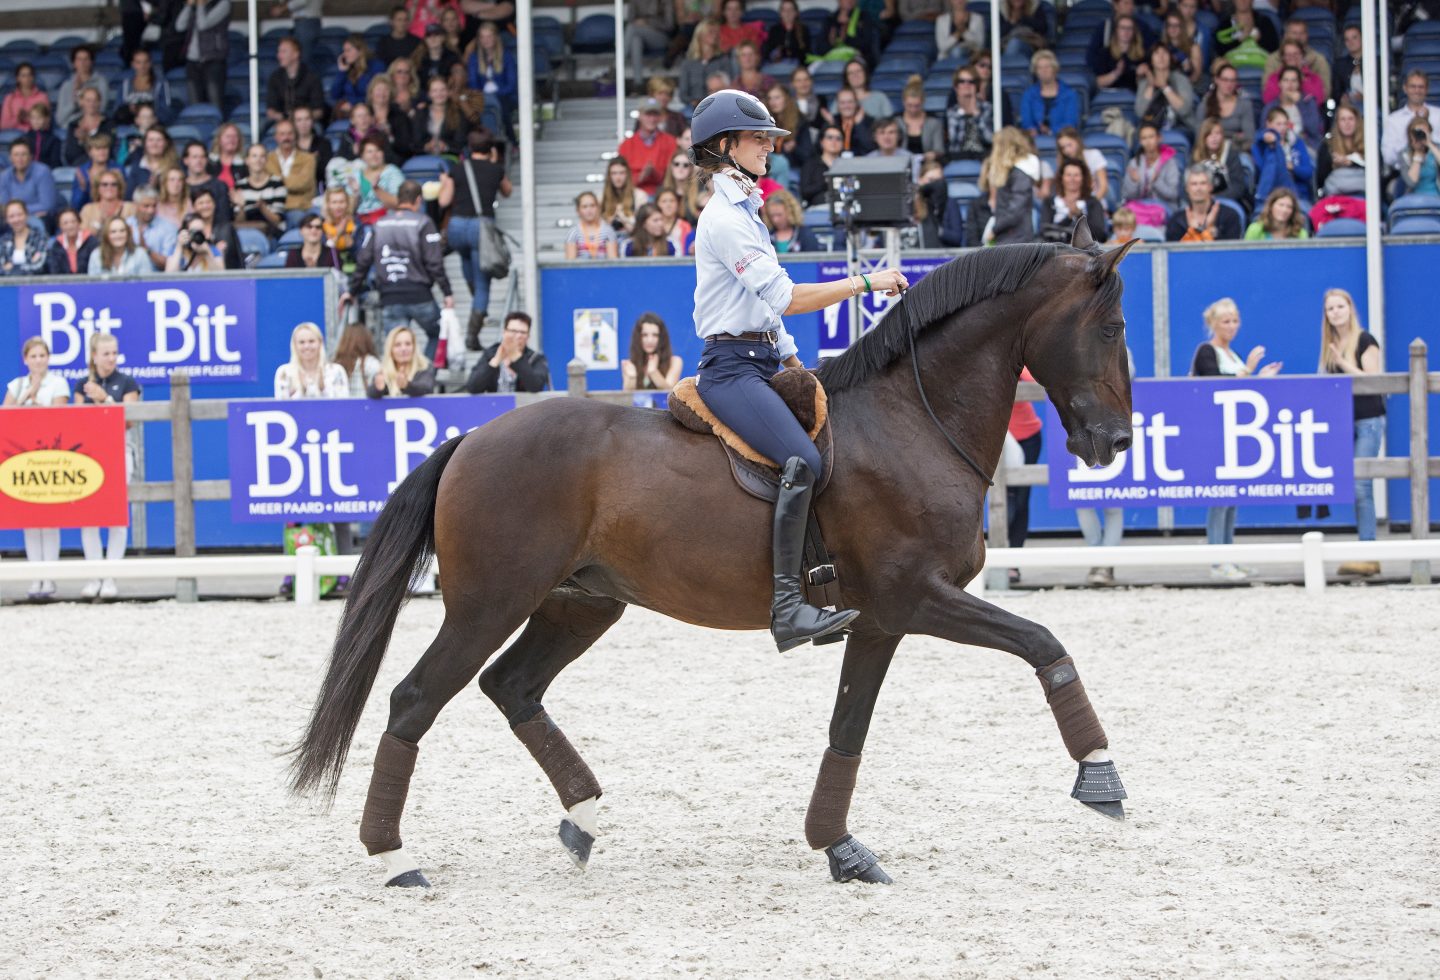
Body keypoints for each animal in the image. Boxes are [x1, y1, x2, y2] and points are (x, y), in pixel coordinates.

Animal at [289, 221, 1140, 888]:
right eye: (1110, 330)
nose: (1116, 442)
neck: (913, 420)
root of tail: (470, 439)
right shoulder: (916, 597)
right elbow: (1043, 643)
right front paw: (1100, 776)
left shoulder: (879, 619)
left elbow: (849, 730)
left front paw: (840, 849)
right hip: (488, 604)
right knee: (414, 701)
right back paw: (394, 857)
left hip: (579, 604)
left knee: (512, 687)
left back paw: (585, 819)